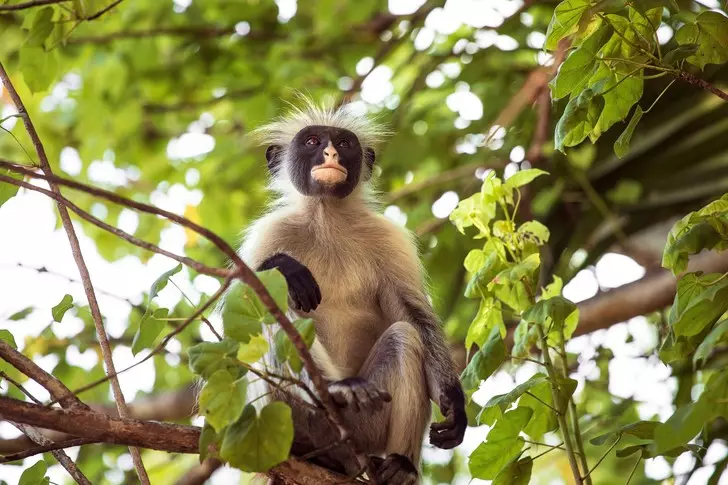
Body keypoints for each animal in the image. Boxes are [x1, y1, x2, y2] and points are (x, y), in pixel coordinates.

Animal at [239, 98, 466, 484]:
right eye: (312, 141)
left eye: (344, 144)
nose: (331, 153)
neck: (327, 218)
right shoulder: (269, 234)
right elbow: (241, 318)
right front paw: (284, 267)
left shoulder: (388, 237)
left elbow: (413, 316)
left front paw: (454, 404)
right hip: (286, 416)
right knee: (272, 309)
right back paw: (334, 393)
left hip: (367, 422)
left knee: (404, 338)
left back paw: (399, 466)